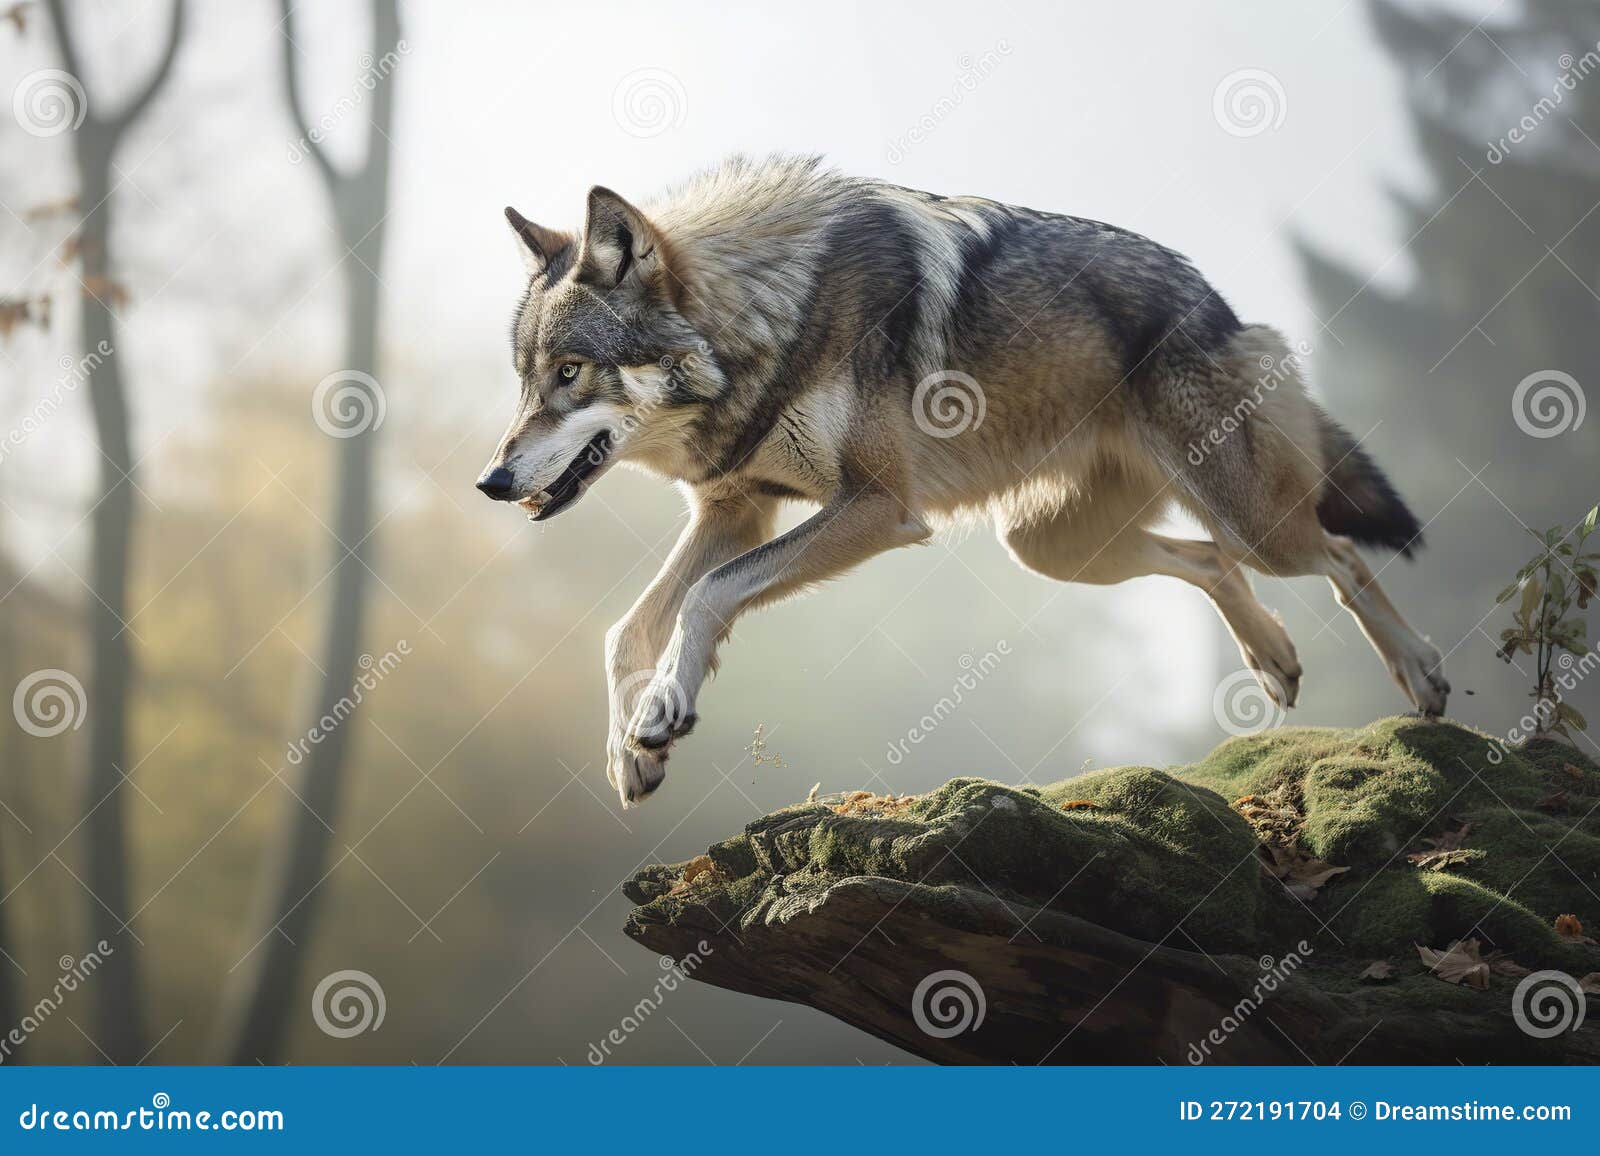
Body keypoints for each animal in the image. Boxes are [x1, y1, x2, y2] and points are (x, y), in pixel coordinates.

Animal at [478, 155, 1449, 806]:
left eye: (570, 372)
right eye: (525, 379)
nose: (490, 481)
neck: (772, 318)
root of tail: (1223, 304)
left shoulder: (878, 507)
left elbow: (708, 595)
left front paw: (662, 715)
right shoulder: (739, 509)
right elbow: (629, 630)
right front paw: (630, 751)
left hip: (1252, 522)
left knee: (1340, 558)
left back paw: (1422, 675)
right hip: (1050, 548)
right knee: (1212, 562)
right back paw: (1274, 658)